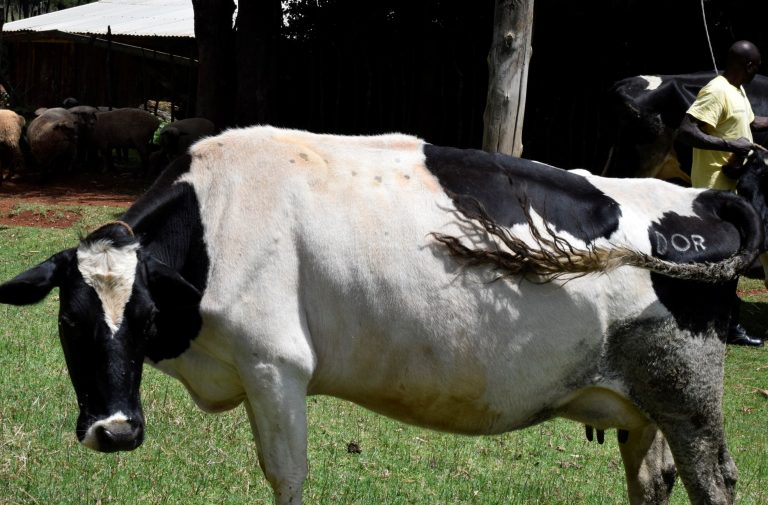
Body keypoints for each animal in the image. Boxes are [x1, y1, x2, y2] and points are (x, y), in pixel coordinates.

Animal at [0, 125, 764, 505]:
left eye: (146, 314)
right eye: (69, 322)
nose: (116, 430)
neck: (215, 218)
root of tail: (695, 198)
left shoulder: (274, 365)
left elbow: (287, 477)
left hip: (690, 395)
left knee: (714, 480)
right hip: (647, 400)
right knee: (653, 481)